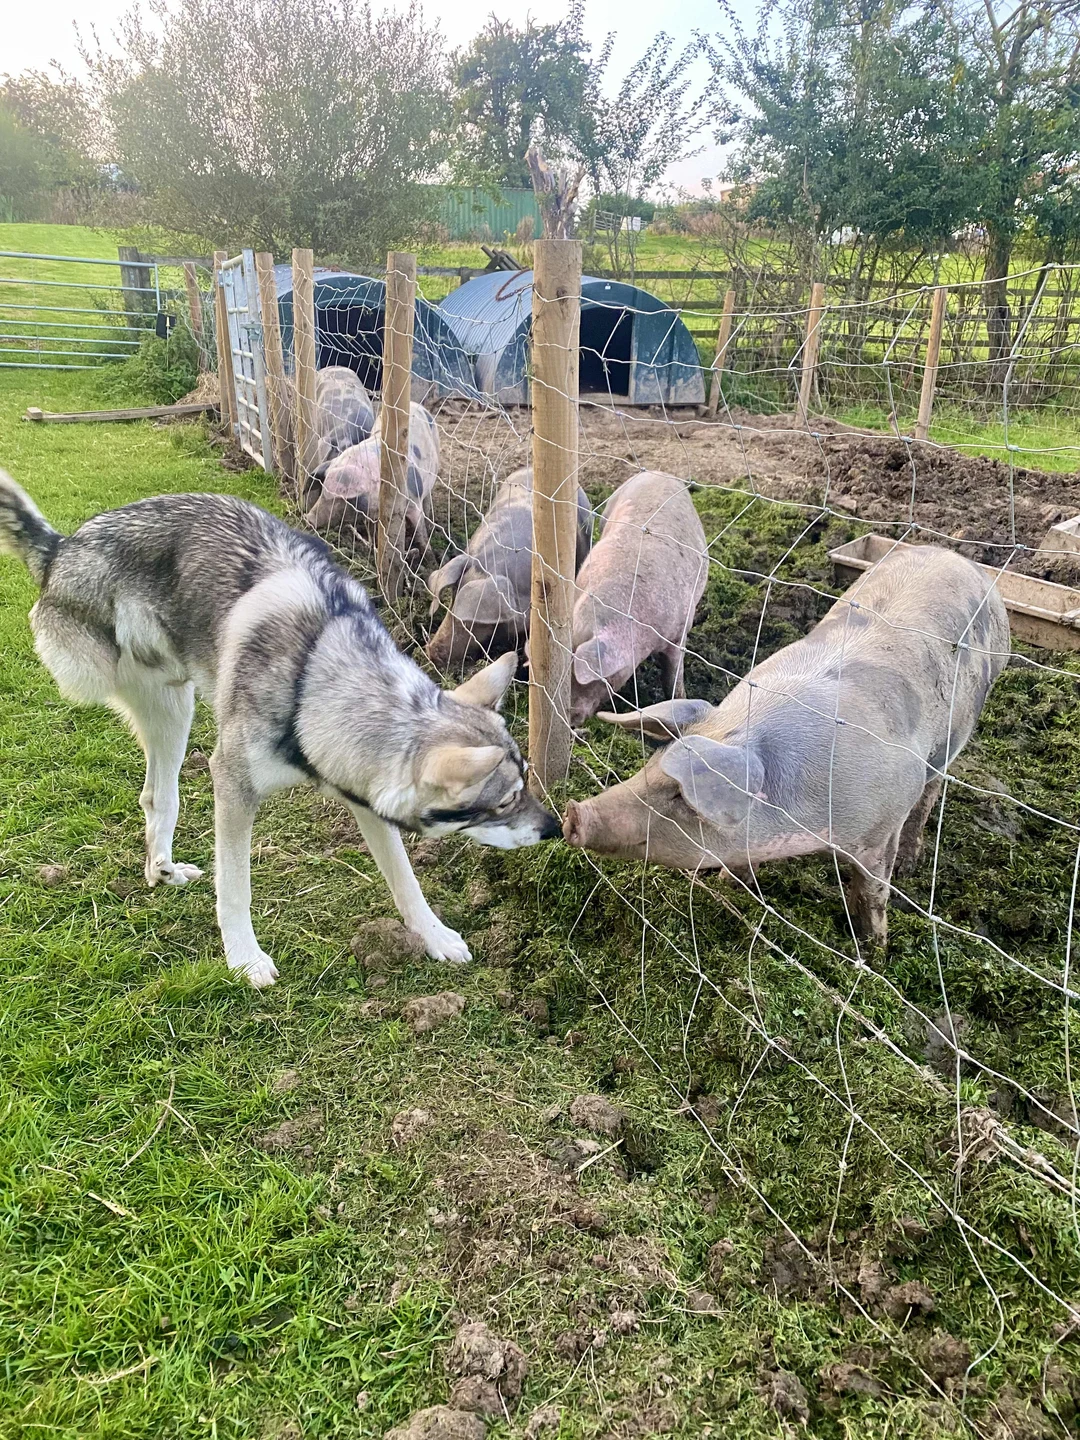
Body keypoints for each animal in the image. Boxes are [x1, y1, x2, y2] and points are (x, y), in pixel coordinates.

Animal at [304, 402, 439, 554]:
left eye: (343, 498)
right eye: (323, 489)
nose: (308, 518)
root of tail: (415, 404)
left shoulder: (414, 501)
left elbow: (420, 533)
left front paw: (430, 556)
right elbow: (371, 529)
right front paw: (372, 546)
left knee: (427, 500)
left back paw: (430, 524)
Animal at [563, 544, 1010, 945]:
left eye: (679, 796)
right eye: (652, 765)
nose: (574, 812)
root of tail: (963, 560)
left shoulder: (882, 825)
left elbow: (871, 892)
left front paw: (874, 950)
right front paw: (728, 887)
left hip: (952, 740)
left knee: (930, 795)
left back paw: (908, 869)